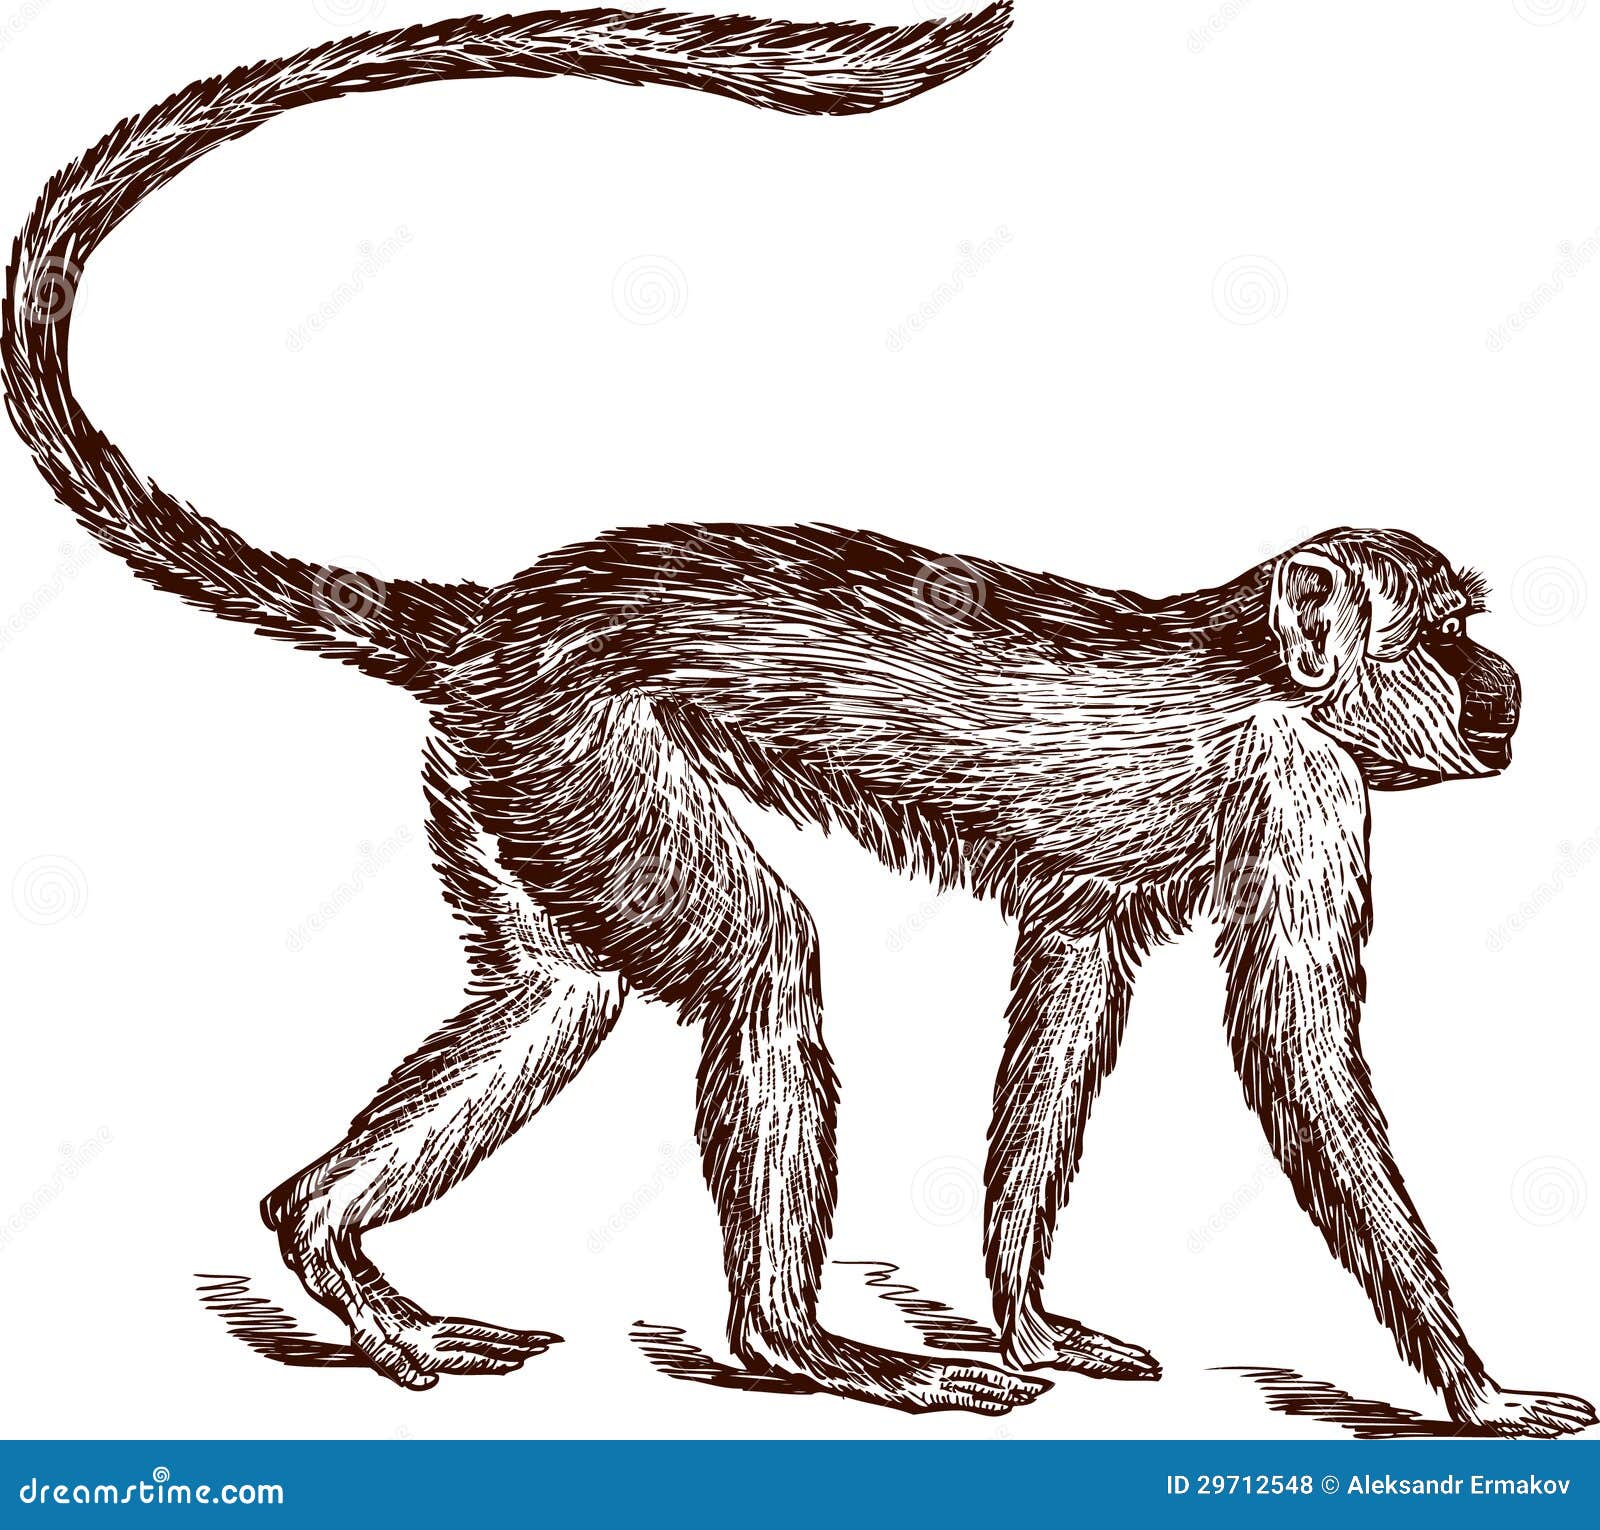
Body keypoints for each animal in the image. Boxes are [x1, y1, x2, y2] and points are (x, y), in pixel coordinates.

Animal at [2, 5, 1593, 1436]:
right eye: (1447, 632)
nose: (1506, 685)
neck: (1261, 663)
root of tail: (499, 614)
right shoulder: (1305, 786)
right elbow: (1295, 1057)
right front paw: (1474, 1387)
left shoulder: (1177, 851)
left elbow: (1068, 1003)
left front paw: (1027, 1311)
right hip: (578, 744)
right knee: (763, 963)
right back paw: (792, 1339)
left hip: (507, 774)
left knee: (555, 994)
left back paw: (328, 1235)